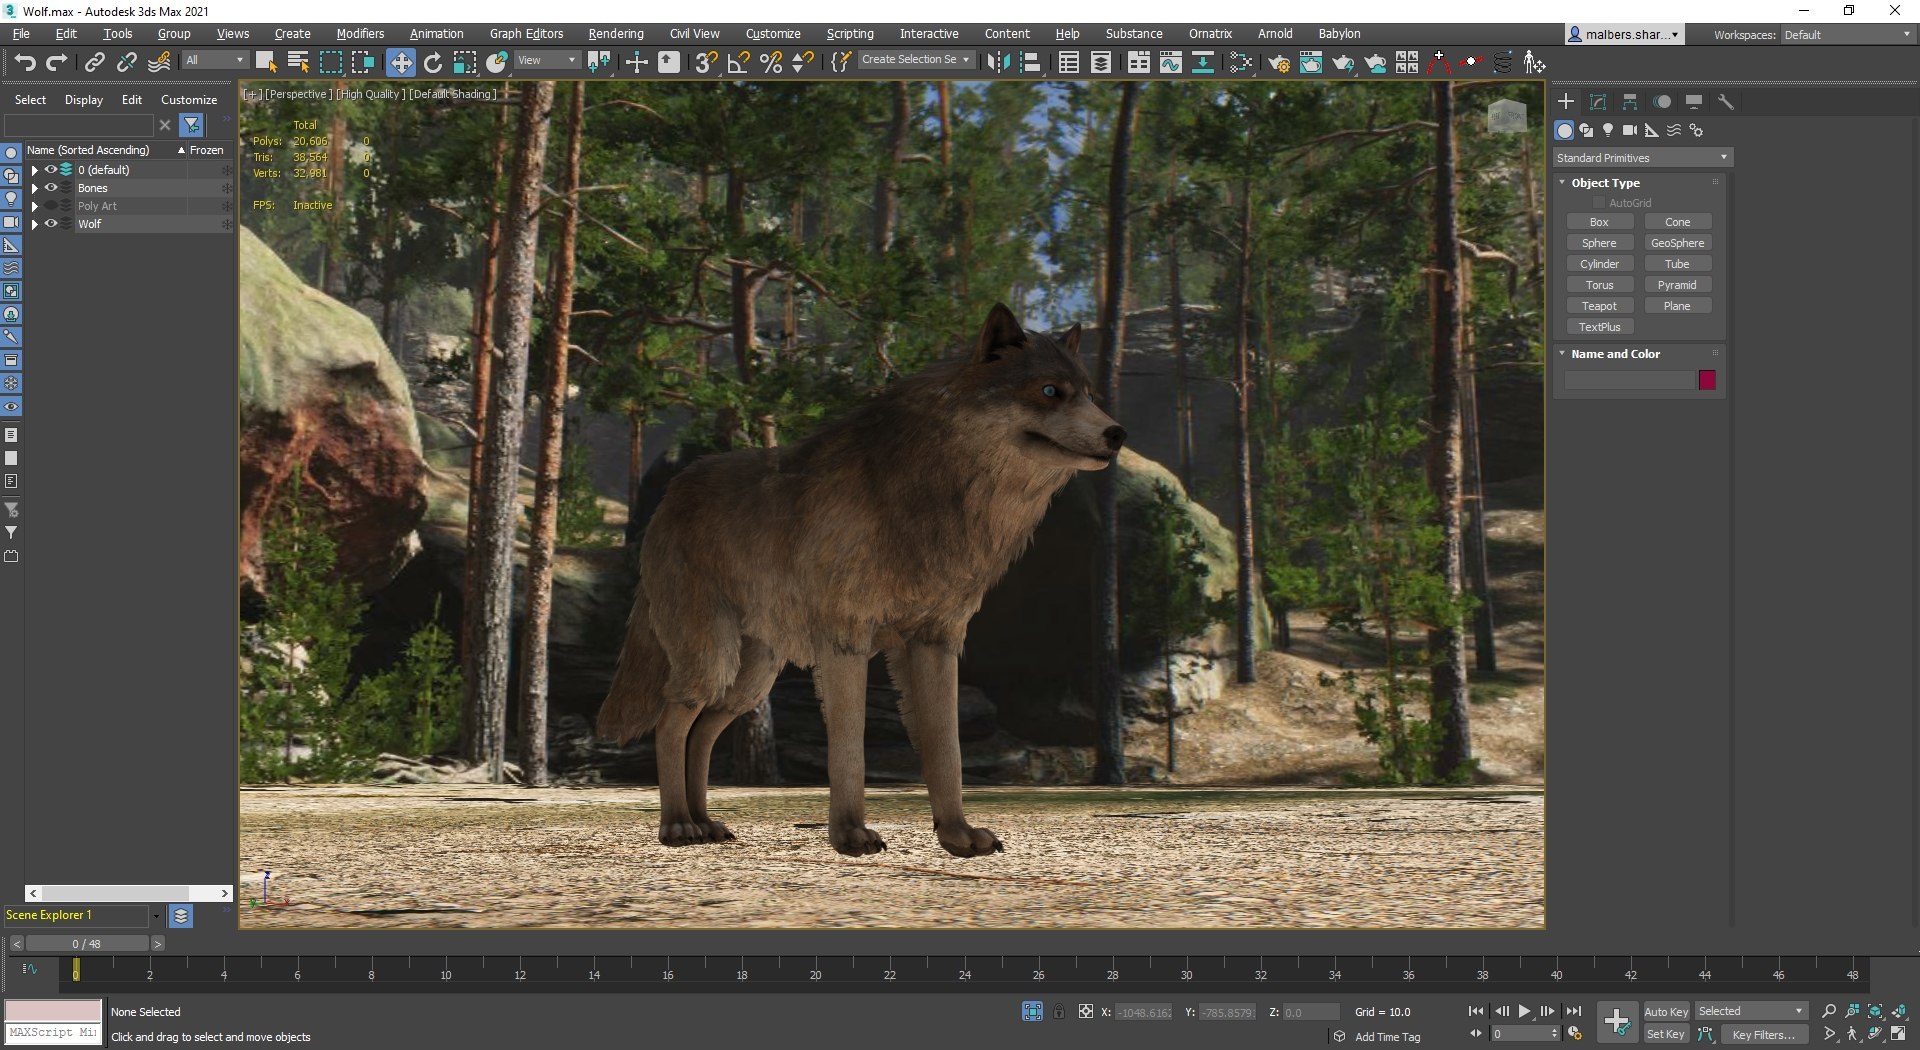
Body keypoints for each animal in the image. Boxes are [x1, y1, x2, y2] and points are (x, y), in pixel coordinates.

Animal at [597, 304, 1125, 857]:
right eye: (1049, 391)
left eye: (1090, 394)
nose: (1118, 433)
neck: (929, 491)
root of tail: (669, 497)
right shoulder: (845, 641)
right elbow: (850, 747)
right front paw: (850, 834)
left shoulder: (937, 641)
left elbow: (947, 749)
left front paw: (958, 835)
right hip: (713, 661)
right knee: (670, 724)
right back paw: (678, 825)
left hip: (749, 680)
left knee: (701, 733)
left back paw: (705, 823)